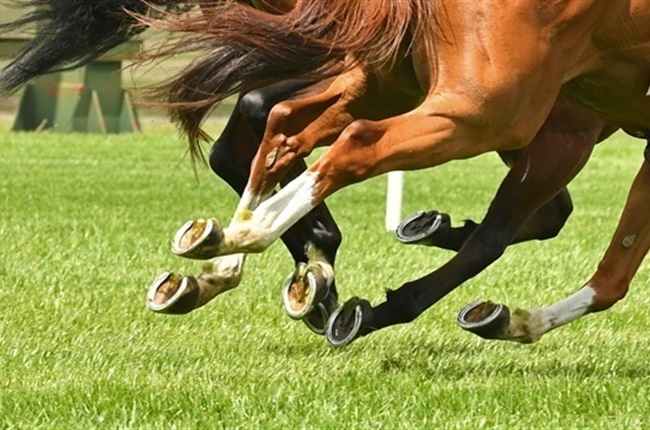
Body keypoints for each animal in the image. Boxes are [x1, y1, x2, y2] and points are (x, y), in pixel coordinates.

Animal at [146, 0, 650, 346]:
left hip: (385, 83)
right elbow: (504, 236)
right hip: (486, 111)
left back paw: (227, 250)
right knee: (355, 143)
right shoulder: (563, 131)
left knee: (283, 126)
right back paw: (251, 240)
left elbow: (614, 272)